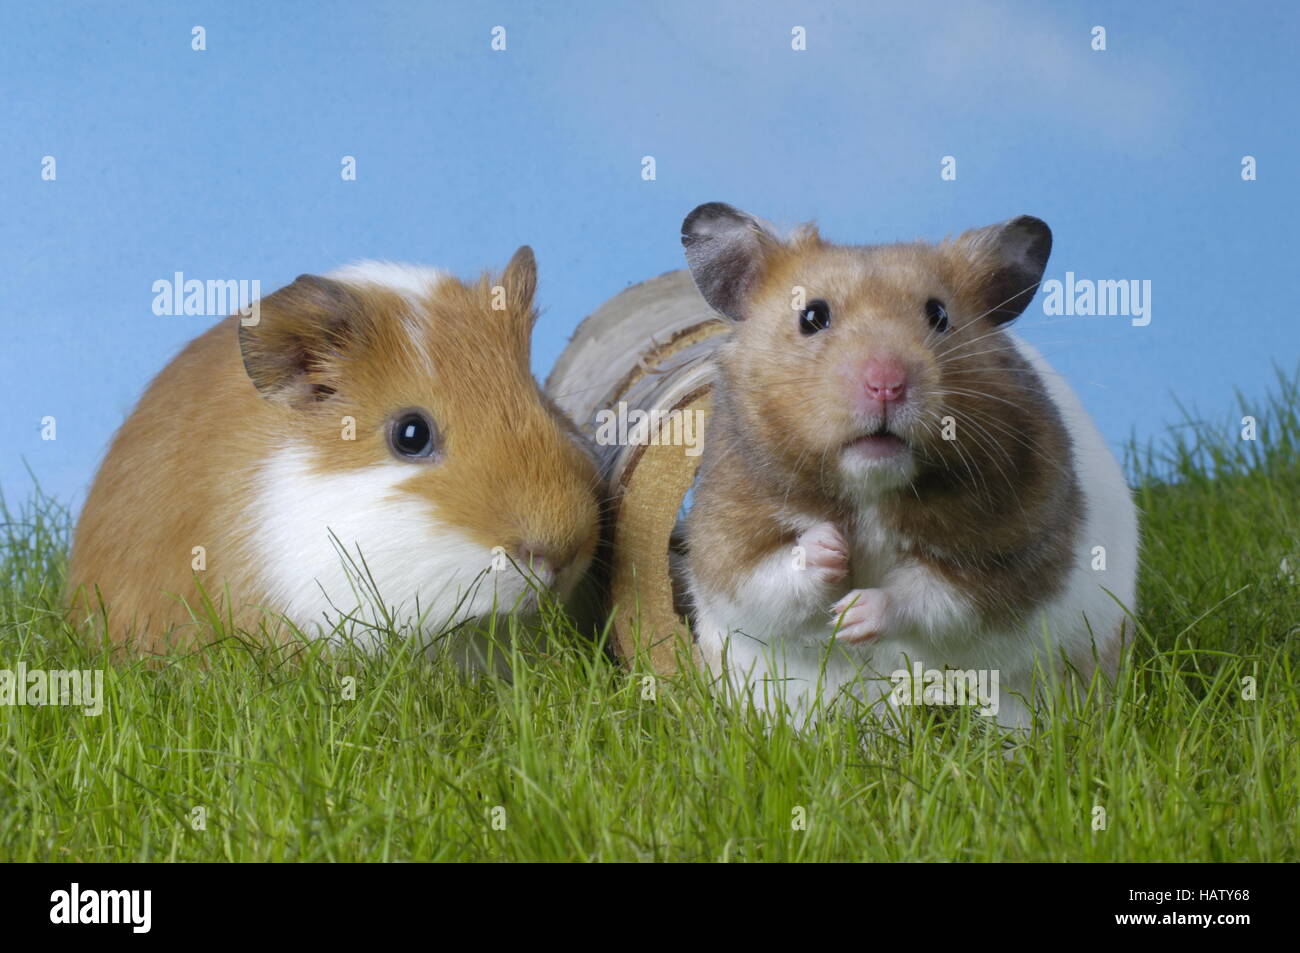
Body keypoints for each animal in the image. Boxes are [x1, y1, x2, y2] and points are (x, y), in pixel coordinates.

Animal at [679, 203, 1139, 730]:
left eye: (938, 314)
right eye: (812, 316)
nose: (887, 384)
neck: (872, 486)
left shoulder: (1011, 555)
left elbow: (937, 597)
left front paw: (854, 615)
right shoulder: (726, 545)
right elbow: (767, 576)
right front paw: (832, 547)